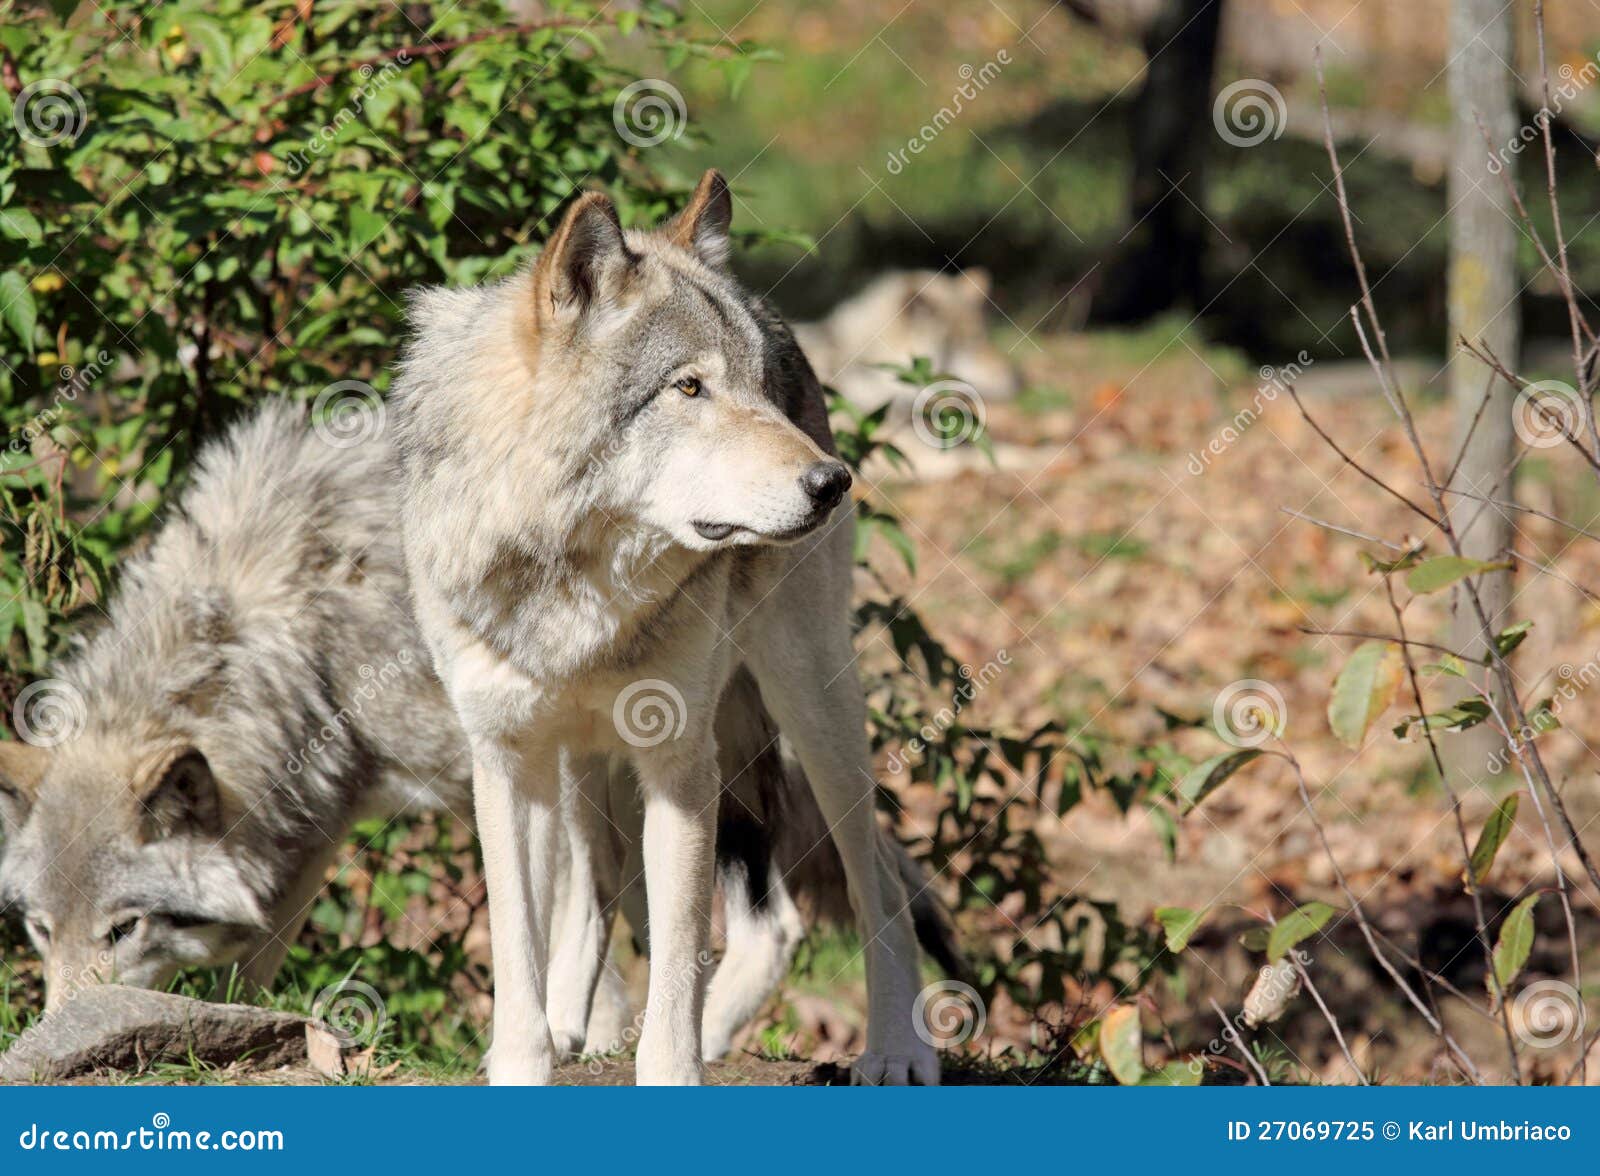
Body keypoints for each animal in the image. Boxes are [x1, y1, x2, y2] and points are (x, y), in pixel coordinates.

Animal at [0, 402, 960, 1061]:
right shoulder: (340, 808)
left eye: (123, 930)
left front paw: (578, 1038)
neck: (287, 627)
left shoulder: (490, 768)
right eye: (41, 932)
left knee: (796, 911)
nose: (60, 1025)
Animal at [392, 170, 944, 1086]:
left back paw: (897, 1051)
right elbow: (518, 953)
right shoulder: (506, 762)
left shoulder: (681, 760)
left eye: (759, 387)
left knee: (876, 885)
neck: (576, 582)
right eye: (689, 388)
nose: (833, 483)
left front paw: (673, 1063)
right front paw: (531, 1054)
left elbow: (682, 962)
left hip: (811, 706)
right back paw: (580, 1022)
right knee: (602, 881)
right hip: (584, 762)